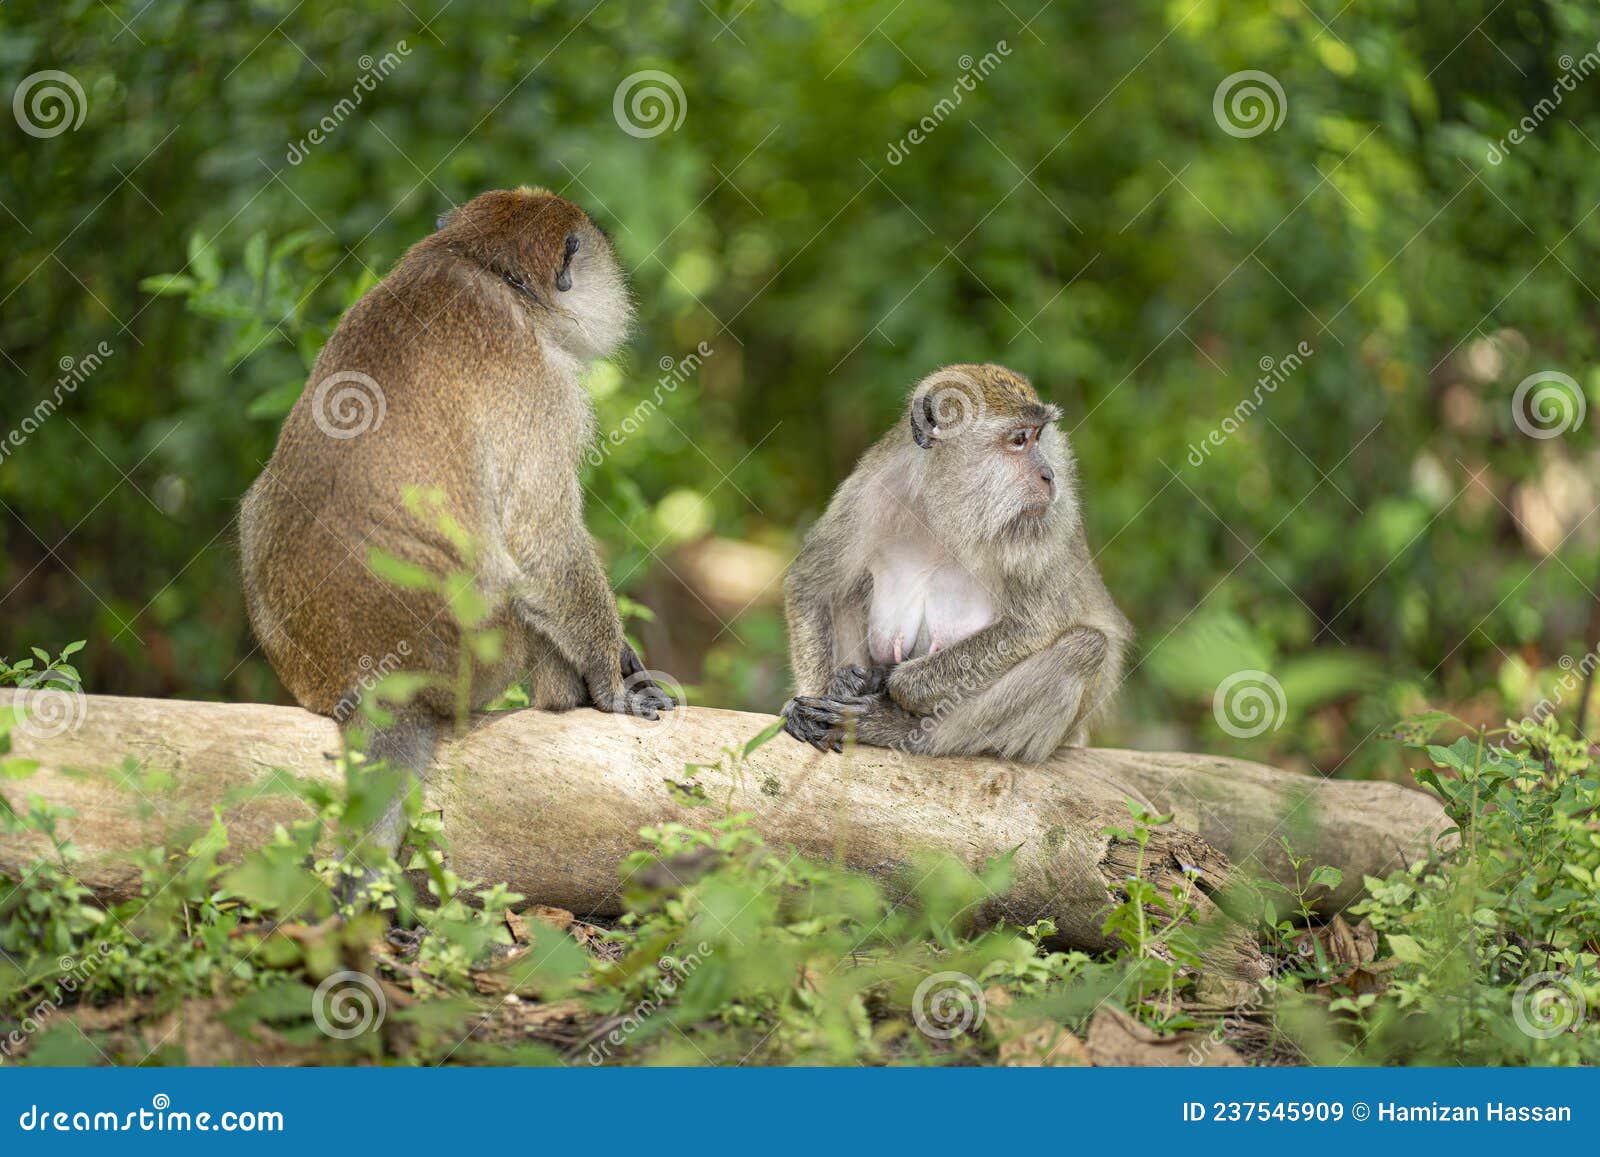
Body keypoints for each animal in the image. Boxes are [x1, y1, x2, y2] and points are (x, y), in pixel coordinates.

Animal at [239, 186, 674, 874]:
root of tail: (366, 686)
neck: (481, 263)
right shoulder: (544, 383)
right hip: (476, 658)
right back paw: (563, 700)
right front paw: (613, 681)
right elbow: (539, 541)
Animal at [782, 364, 1130, 763]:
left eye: (1039, 436)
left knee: (1085, 647)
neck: (944, 507)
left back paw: (900, 730)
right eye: (1019, 439)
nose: (1049, 476)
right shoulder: (867, 492)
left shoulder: (1044, 529)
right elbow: (811, 585)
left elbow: (1038, 623)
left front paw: (889, 683)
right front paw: (819, 694)